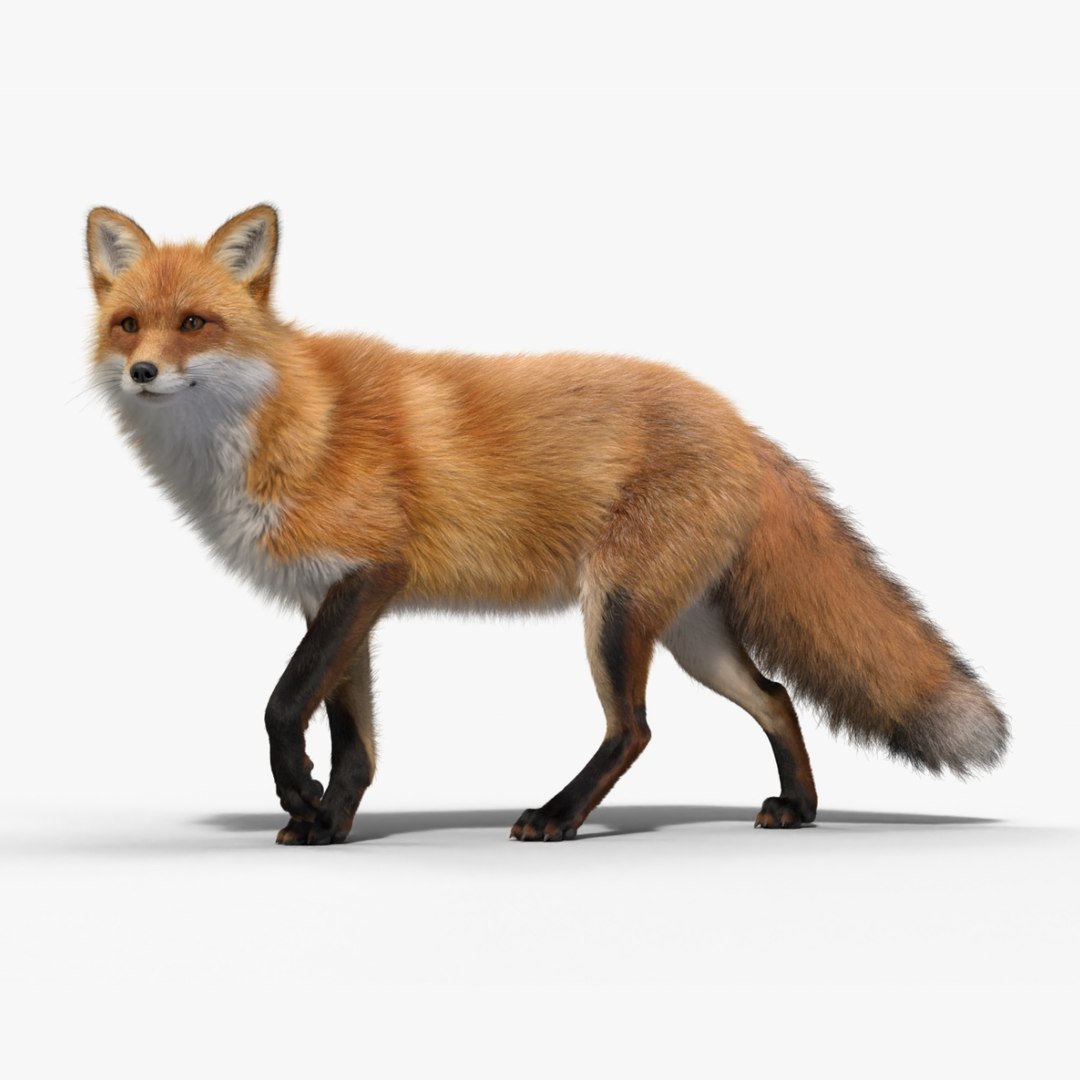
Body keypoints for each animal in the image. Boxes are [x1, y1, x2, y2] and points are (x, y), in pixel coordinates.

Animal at [86, 204, 1008, 845]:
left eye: (195, 324)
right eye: (129, 324)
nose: (142, 372)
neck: (286, 424)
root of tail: (739, 422)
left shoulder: (370, 576)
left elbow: (283, 707)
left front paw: (303, 797)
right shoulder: (336, 598)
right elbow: (355, 739)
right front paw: (328, 823)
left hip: (615, 613)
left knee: (634, 728)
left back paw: (560, 817)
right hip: (687, 631)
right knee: (777, 697)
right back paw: (802, 808)